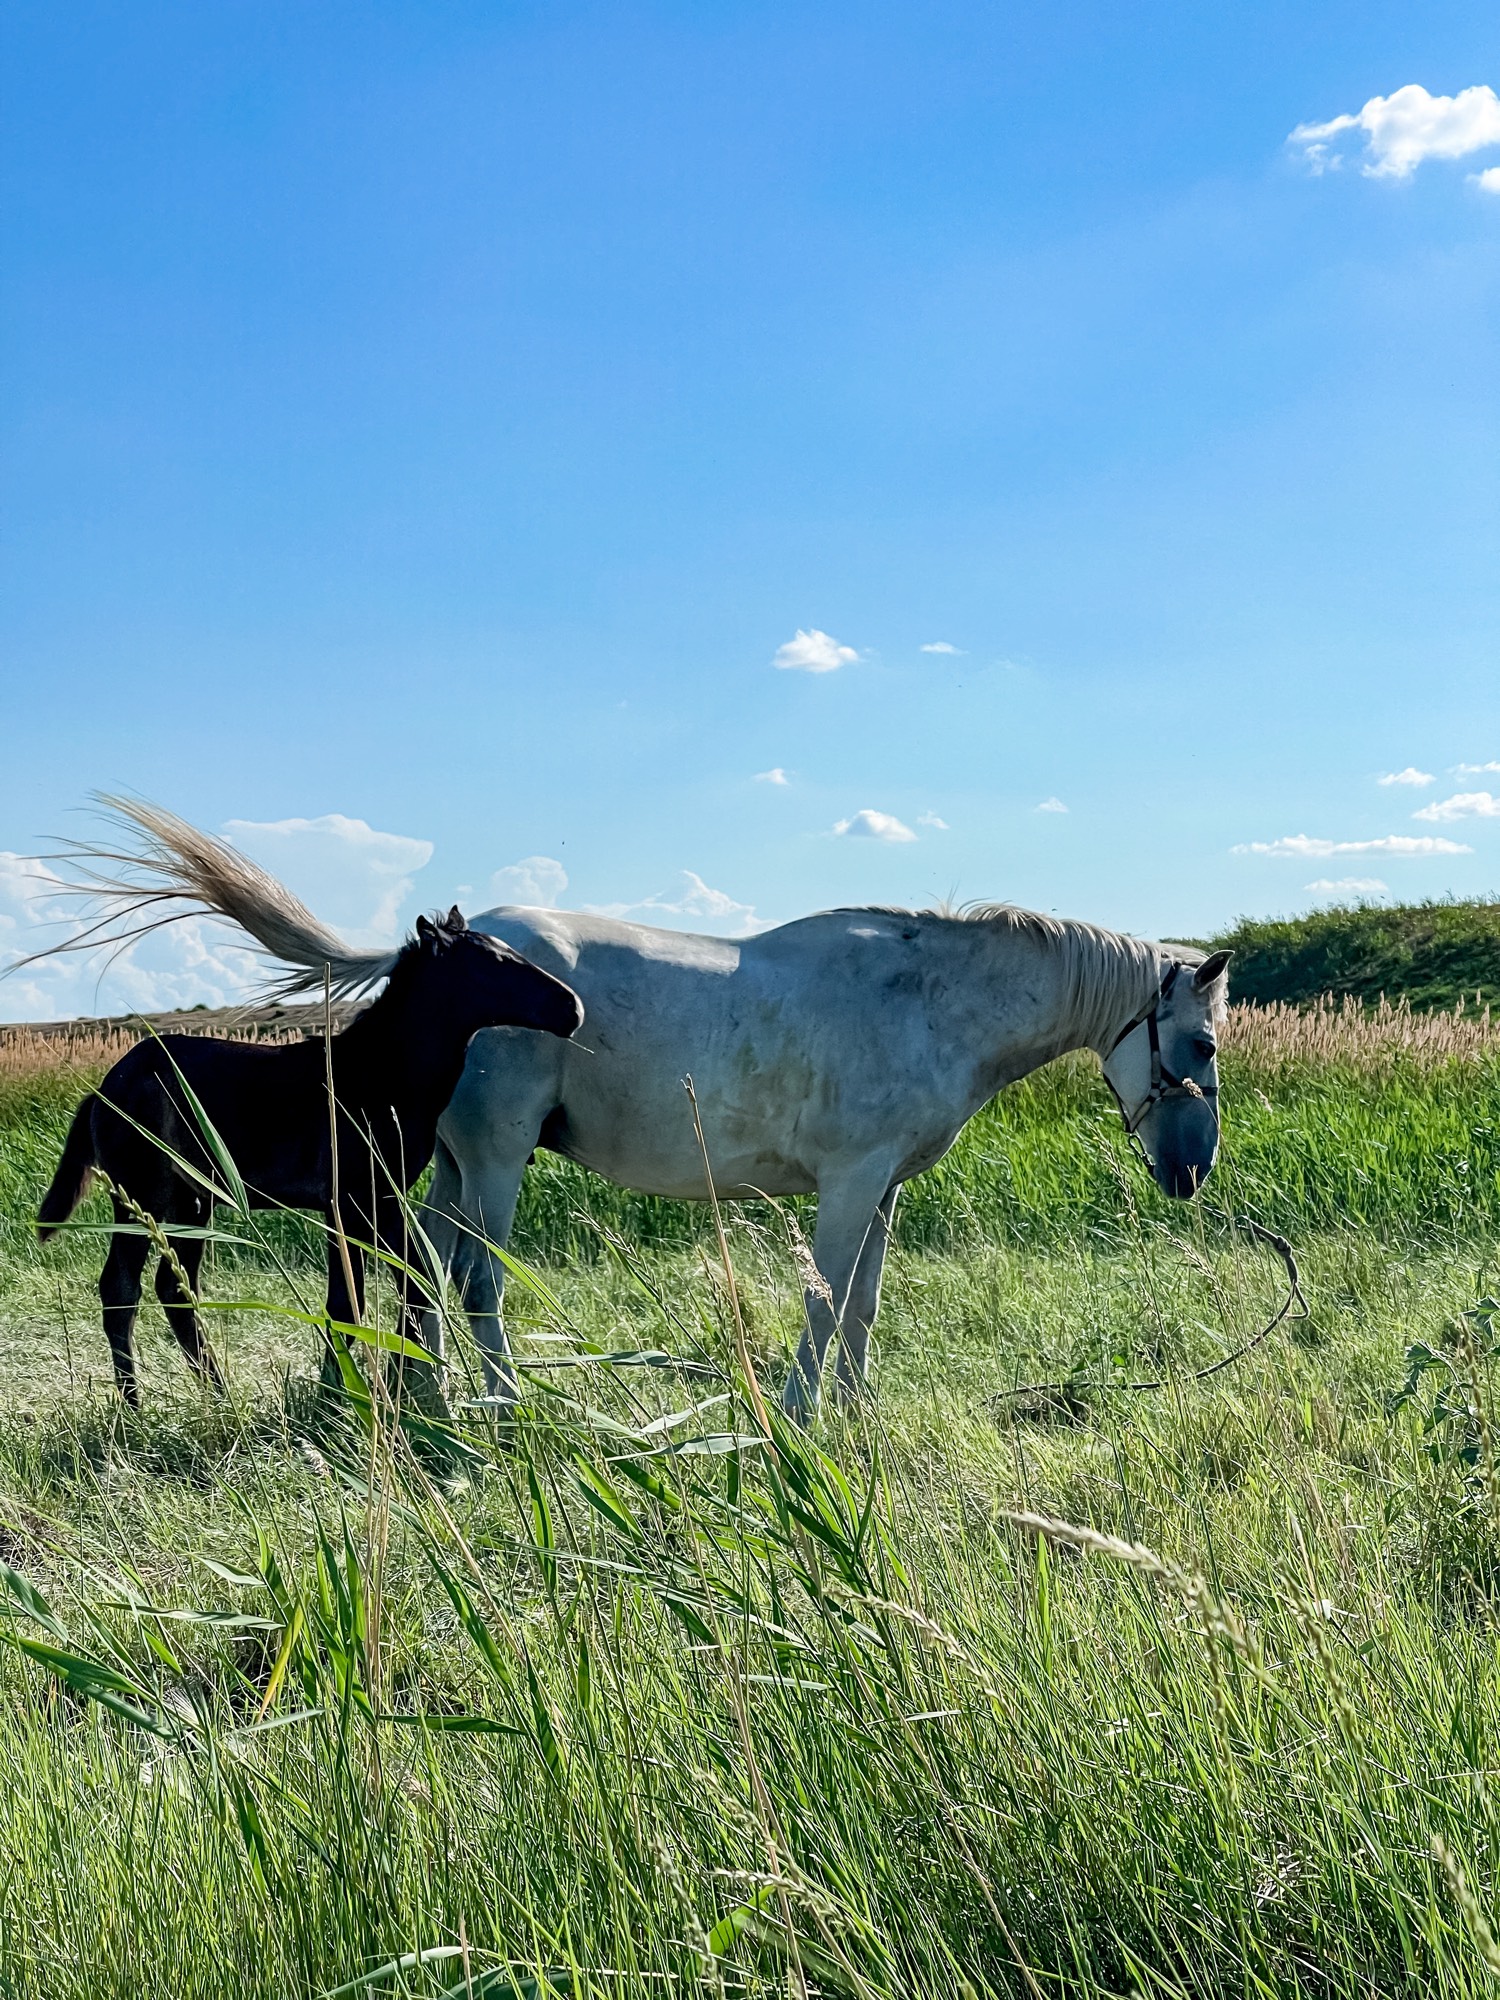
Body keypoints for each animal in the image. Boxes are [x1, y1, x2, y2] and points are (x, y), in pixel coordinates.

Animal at [39, 912, 580, 1408]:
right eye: (494, 962)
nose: (571, 1008)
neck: (377, 1073)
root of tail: (103, 1089)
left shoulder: (366, 1204)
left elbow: (385, 1291)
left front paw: (372, 1391)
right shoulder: (357, 1200)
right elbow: (365, 1296)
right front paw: (347, 1398)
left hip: (193, 1201)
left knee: (174, 1288)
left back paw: (220, 1396)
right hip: (142, 1195)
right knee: (121, 1288)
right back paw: (133, 1406)